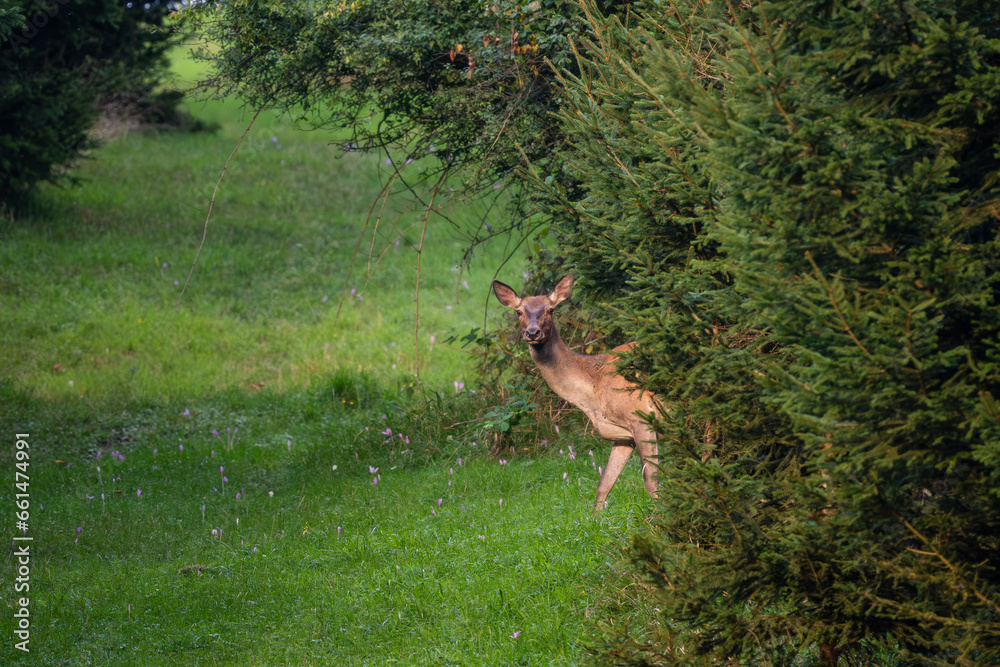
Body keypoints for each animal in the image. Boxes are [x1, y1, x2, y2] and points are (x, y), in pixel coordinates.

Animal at [492, 274, 660, 511]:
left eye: (550, 309)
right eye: (518, 311)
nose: (532, 332)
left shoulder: (641, 416)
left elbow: (652, 482)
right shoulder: (622, 434)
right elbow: (604, 483)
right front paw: (596, 519)